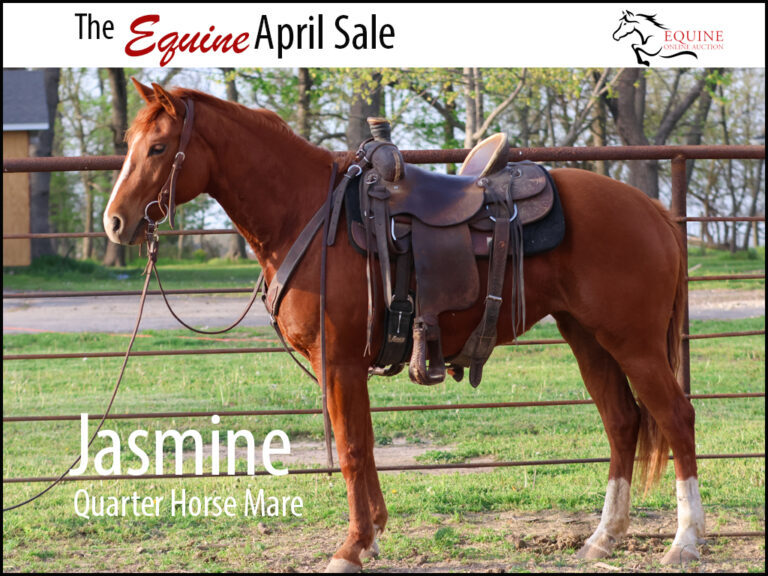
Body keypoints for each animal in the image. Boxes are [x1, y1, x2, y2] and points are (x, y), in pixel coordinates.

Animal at [103, 80, 704, 572]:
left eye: (158, 147)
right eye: (131, 143)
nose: (114, 222)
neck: (307, 215)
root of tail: (654, 212)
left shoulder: (339, 362)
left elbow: (350, 448)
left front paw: (350, 548)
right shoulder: (346, 367)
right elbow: (365, 445)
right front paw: (370, 537)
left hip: (635, 344)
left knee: (676, 417)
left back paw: (685, 541)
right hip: (588, 338)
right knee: (622, 422)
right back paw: (603, 537)